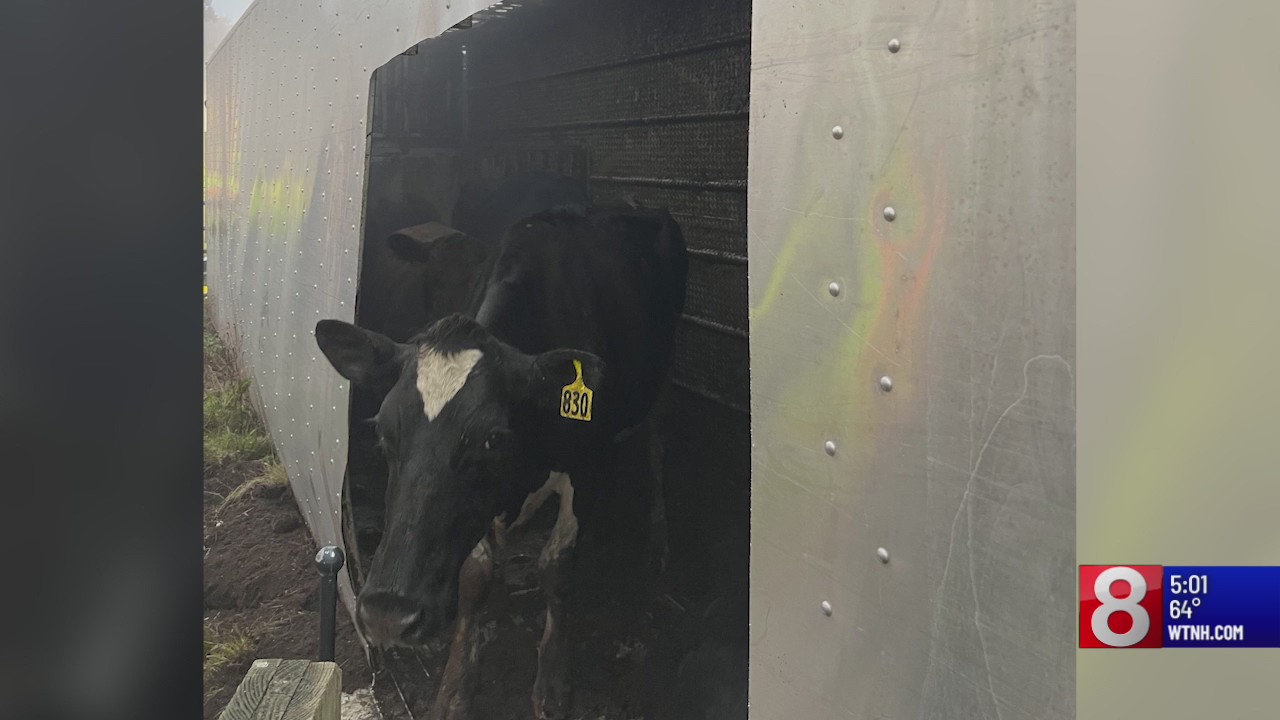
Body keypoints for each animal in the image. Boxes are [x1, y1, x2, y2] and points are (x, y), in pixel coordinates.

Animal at [315, 189, 687, 720]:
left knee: (656, 446)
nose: (387, 613)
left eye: (491, 438)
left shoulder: (585, 465)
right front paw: (455, 687)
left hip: (665, 371)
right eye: (383, 433)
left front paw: (552, 681)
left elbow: (557, 565)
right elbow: (475, 575)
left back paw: (657, 540)